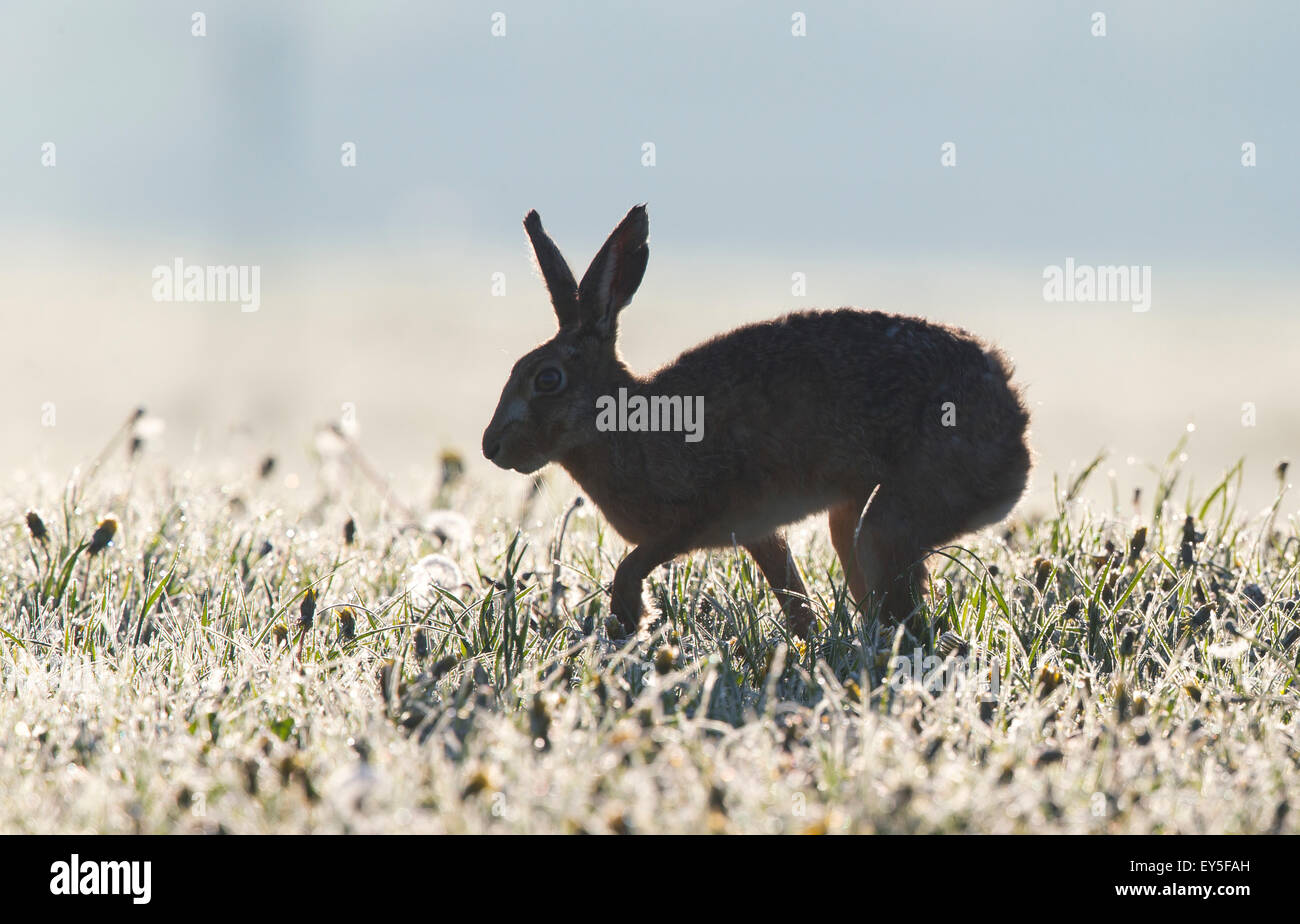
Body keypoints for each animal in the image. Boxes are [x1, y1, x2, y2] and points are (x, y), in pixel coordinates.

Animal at [482, 205, 1031, 637]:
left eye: (547, 379)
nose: (492, 448)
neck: (621, 421)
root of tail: (1014, 416)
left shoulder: (702, 513)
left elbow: (633, 564)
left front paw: (629, 618)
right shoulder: (756, 529)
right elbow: (790, 590)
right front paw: (806, 638)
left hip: (891, 520)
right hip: (851, 522)